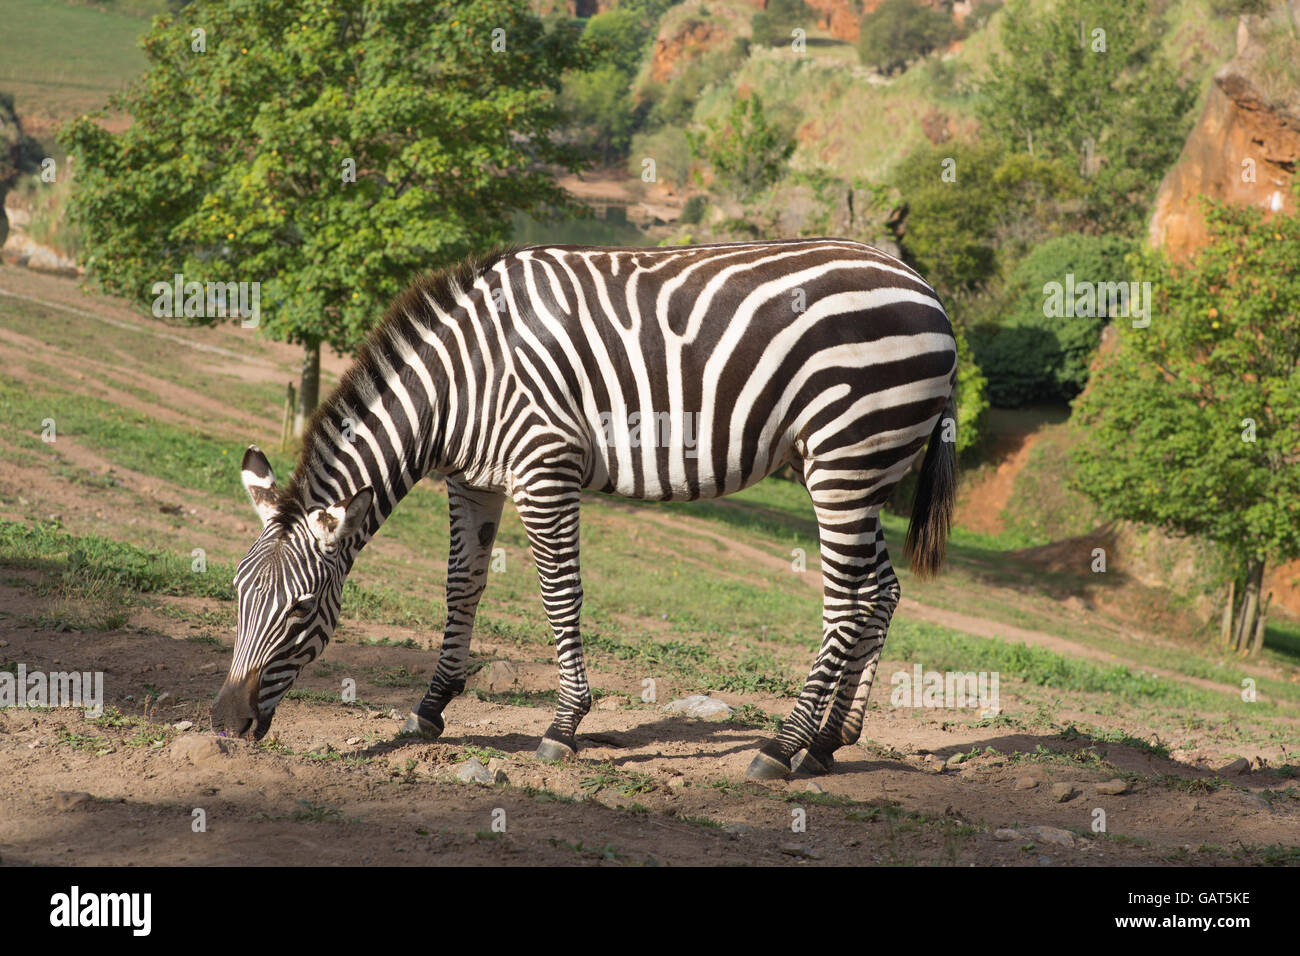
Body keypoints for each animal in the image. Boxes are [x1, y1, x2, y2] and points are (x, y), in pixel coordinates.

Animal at [212, 237, 957, 780]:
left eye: (302, 611)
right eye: (236, 595)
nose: (224, 723)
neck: (460, 385)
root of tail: (926, 289)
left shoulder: (545, 467)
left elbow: (559, 594)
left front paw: (563, 726)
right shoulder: (473, 481)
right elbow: (463, 587)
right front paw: (429, 709)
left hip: (846, 457)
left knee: (846, 601)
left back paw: (780, 748)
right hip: (860, 469)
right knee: (882, 590)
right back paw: (829, 743)